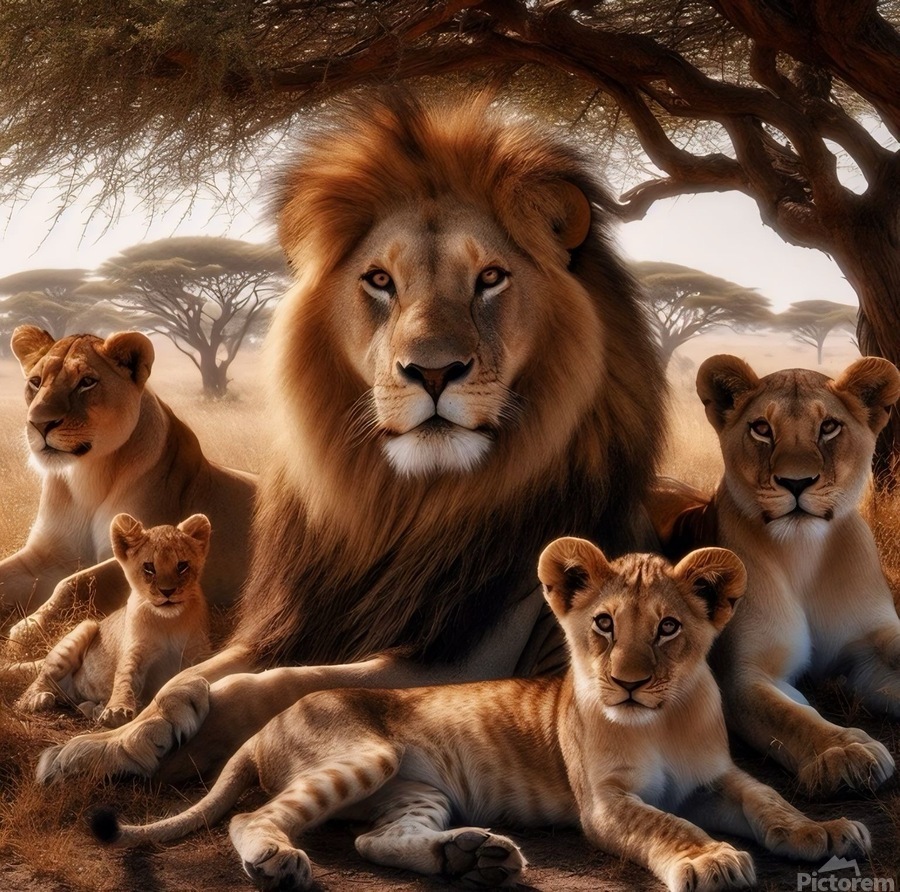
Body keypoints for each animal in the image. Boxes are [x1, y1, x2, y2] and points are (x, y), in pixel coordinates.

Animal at [0, 327, 255, 639]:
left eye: (87, 382)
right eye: (35, 383)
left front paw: (29, 628)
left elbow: (75, 583)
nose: (38, 423)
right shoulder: (48, 554)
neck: (86, 477)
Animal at [17, 513, 211, 728]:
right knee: (37, 683)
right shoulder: (134, 653)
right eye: (149, 567)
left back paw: (94, 709)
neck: (168, 622)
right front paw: (116, 710)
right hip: (85, 627)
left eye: (182, 566)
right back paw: (38, 699)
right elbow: (124, 678)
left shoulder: (199, 651)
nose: (167, 591)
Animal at [90, 539, 869, 892]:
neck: (663, 719)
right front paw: (710, 858)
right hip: (362, 756)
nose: (627, 685)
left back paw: (472, 856)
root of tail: (261, 732)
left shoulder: (716, 776)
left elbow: (769, 800)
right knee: (252, 817)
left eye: (669, 628)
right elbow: (666, 824)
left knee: (373, 840)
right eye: (605, 625)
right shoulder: (605, 804)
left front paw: (826, 832)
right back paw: (278, 861)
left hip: (413, 791)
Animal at [663, 354, 900, 795]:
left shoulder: (870, 646)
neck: (802, 553)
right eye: (762, 428)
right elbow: (792, 716)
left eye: (829, 426)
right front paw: (844, 752)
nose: (796, 482)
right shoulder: (742, 675)